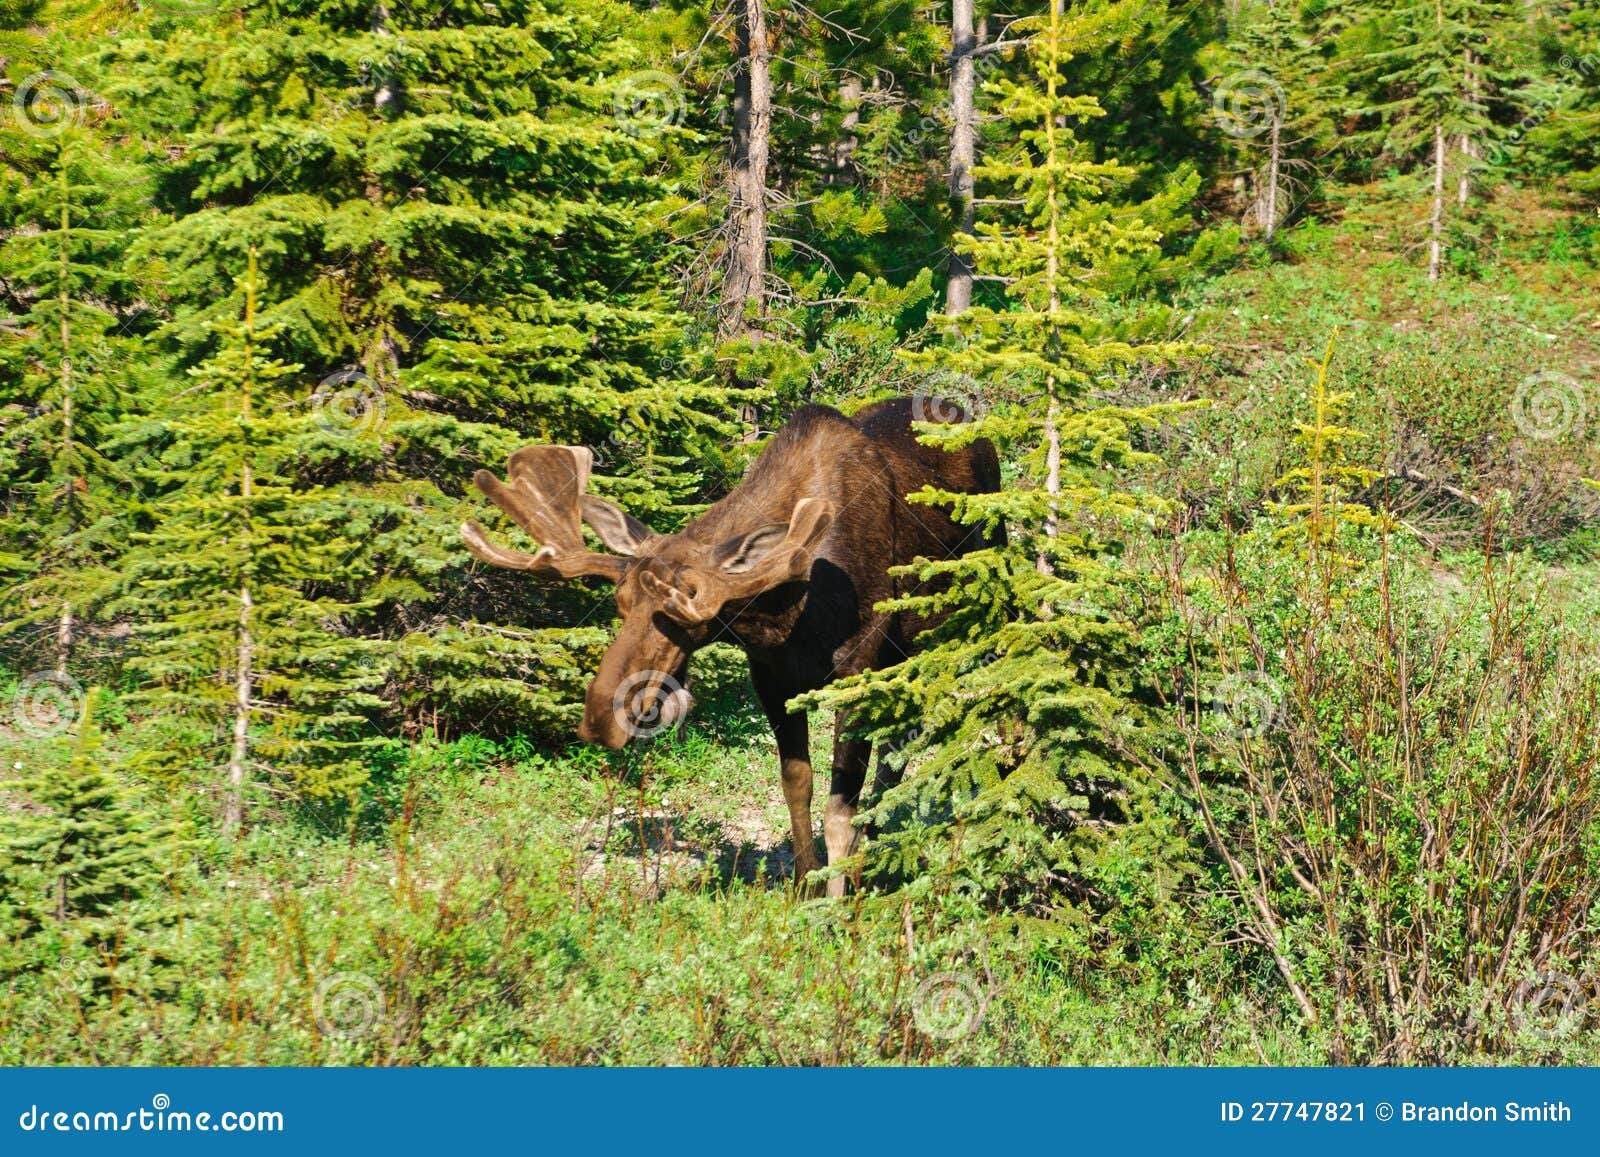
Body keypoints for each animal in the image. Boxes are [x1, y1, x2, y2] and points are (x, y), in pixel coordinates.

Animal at [460, 397, 1000, 894]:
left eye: (686, 613)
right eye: (621, 603)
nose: (598, 718)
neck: (791, 606)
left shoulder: (858, 668)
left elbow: (839, 809)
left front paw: (837, 906)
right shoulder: (771, 675)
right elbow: (797, 785)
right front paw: (804, 889)